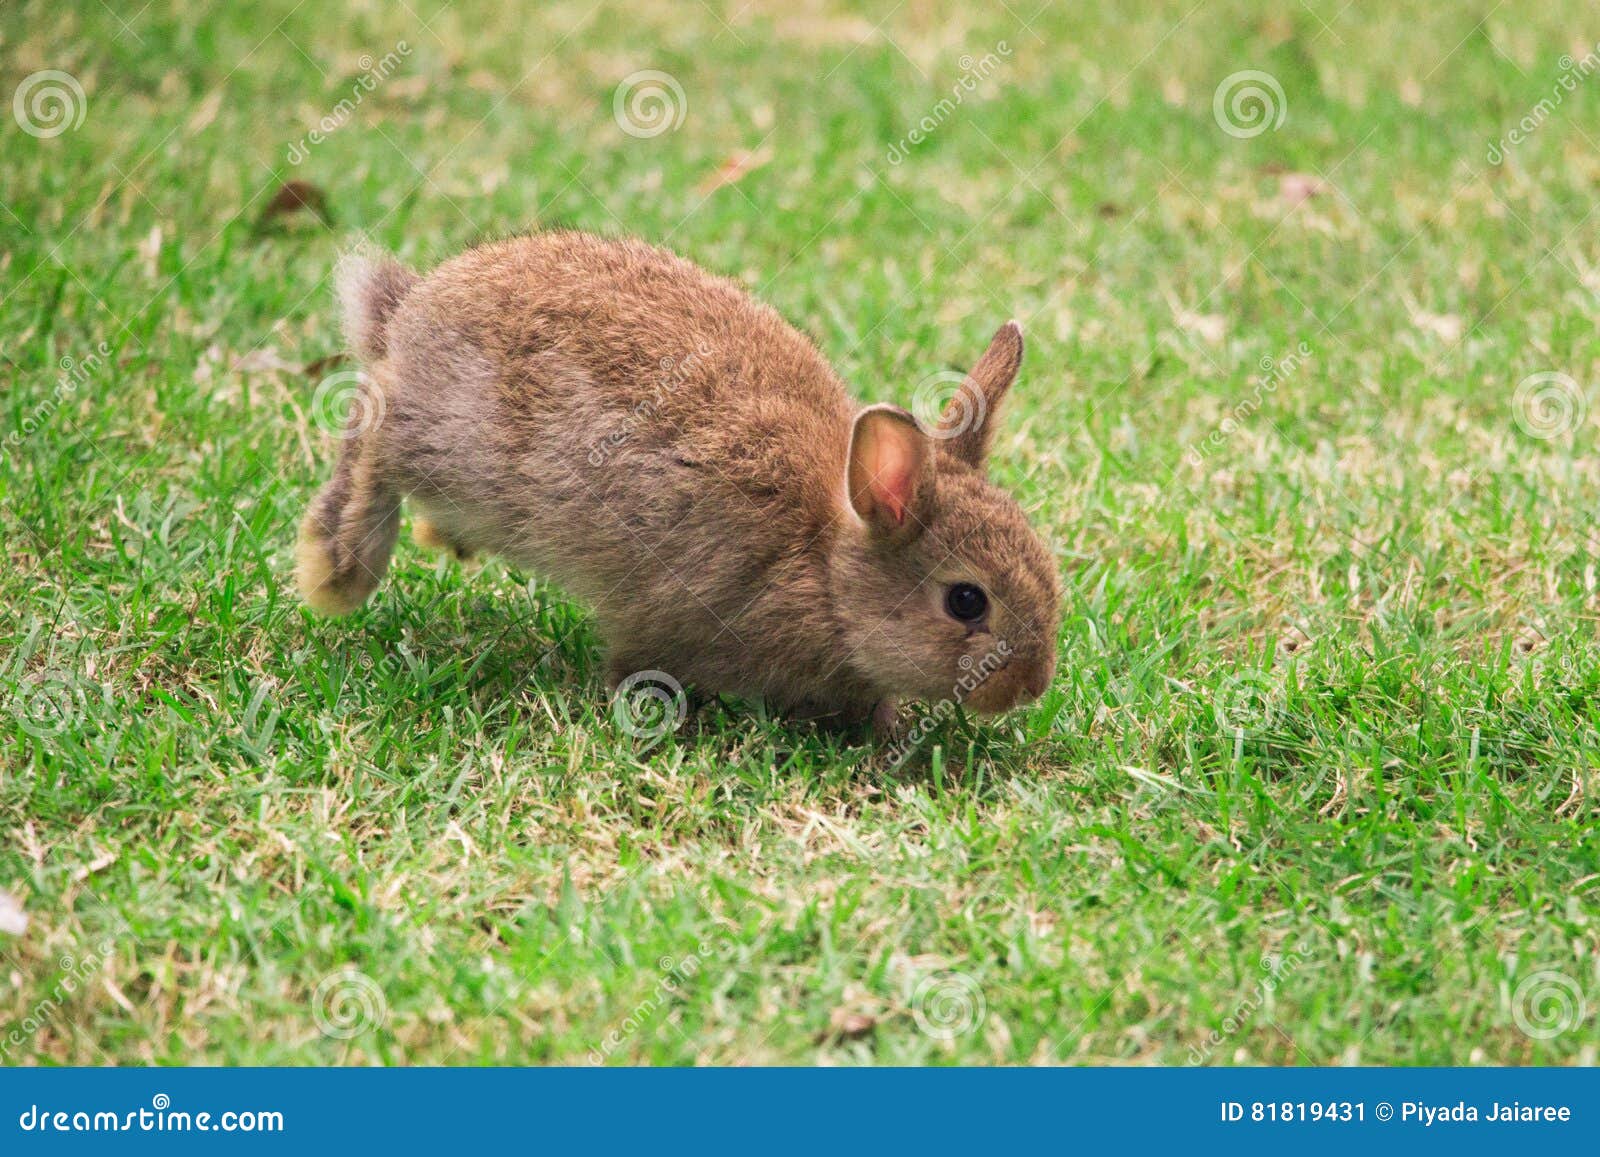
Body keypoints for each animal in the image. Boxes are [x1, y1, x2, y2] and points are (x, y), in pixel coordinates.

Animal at [295, 231, 1061, 732]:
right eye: (966, 601)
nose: (1032, 686)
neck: (825, 564)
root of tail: (408, 309)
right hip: (455, 449)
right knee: (373, 429)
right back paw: (338, 564)